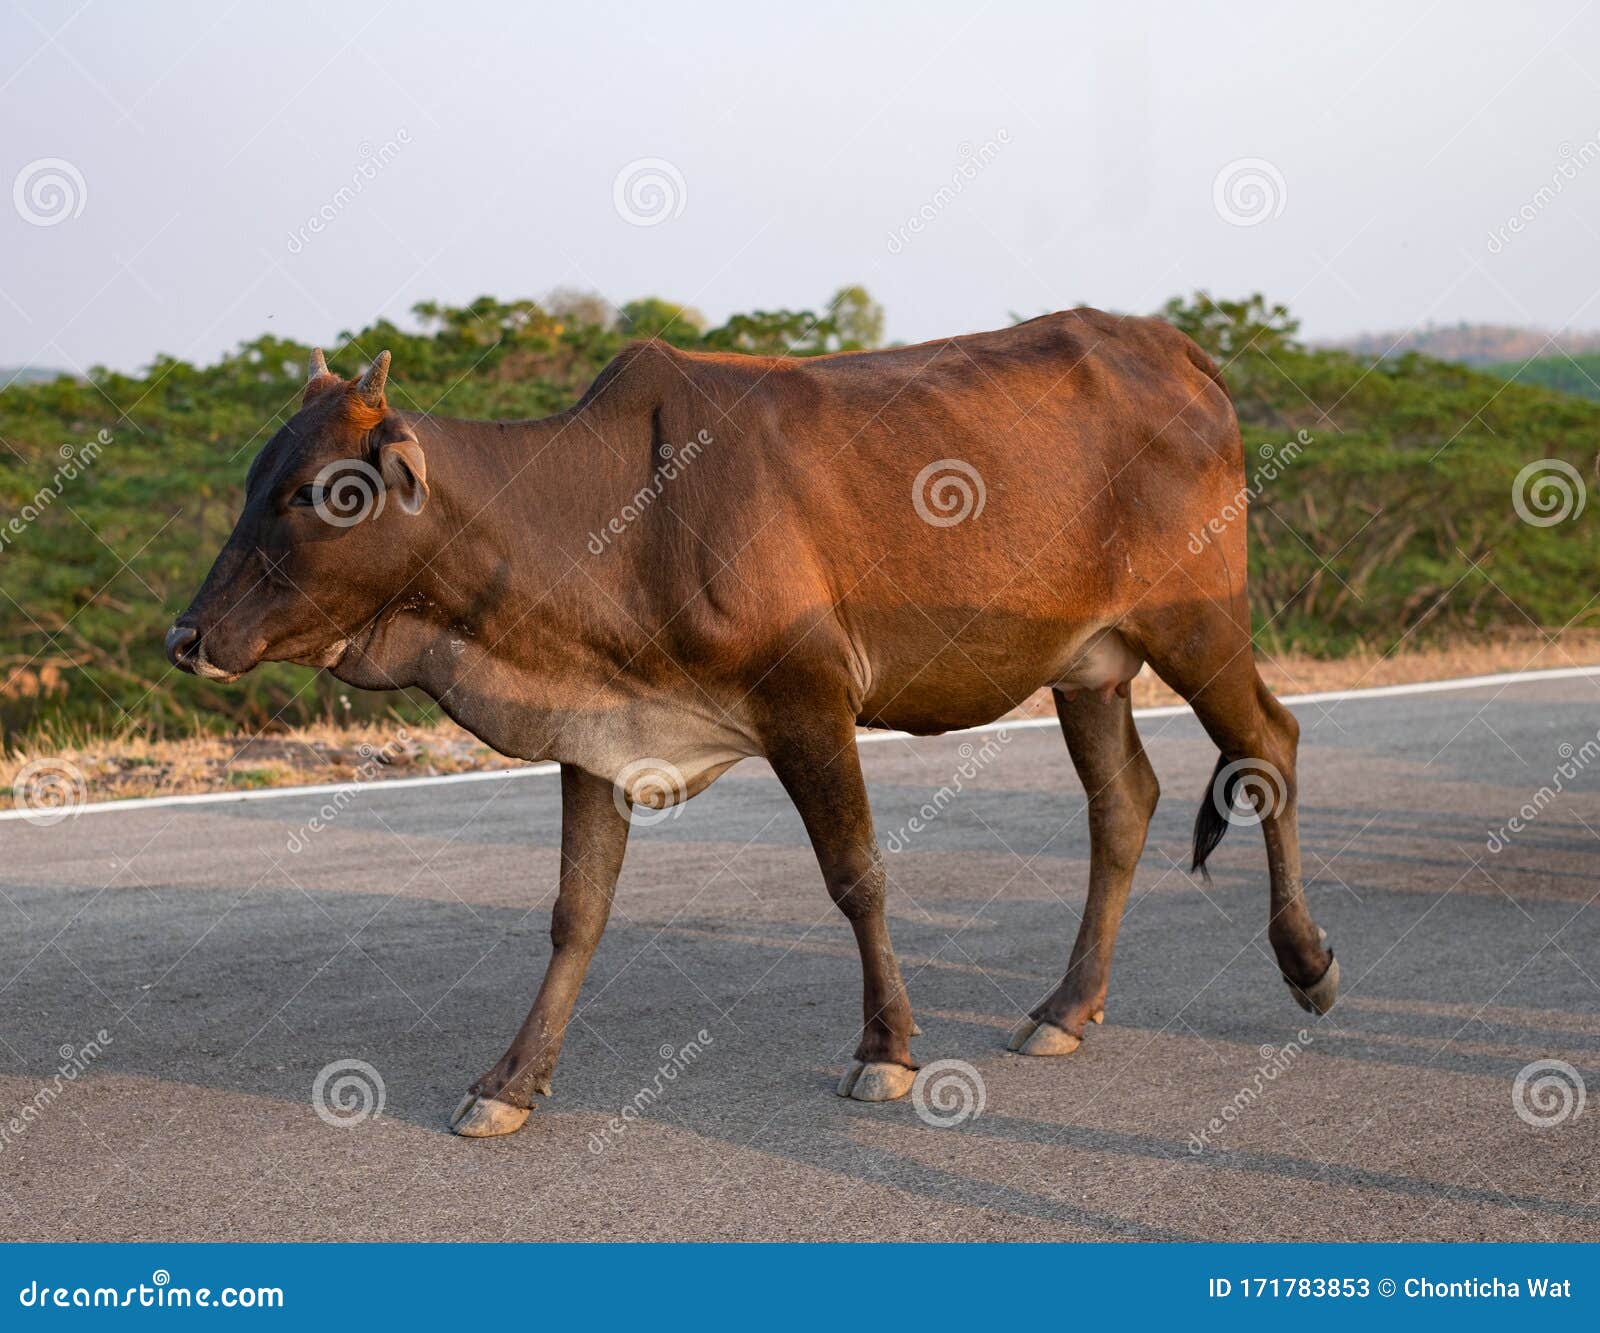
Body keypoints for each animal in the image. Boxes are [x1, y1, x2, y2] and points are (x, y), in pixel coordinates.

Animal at [166, 311, 1338, 1138]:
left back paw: (1305, 961)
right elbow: (576, 912)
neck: (618, 517)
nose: (187, 635)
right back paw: (1066, 1007)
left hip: (1194, 619)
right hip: (1088, 662)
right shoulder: (600, 735)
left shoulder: (807, 700)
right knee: (1123, 800)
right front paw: (511, 1080)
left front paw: (886, 1048)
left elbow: (856, 875)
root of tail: (1167, 344)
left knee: (1268, 748)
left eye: (329, 491)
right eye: (256, 478)